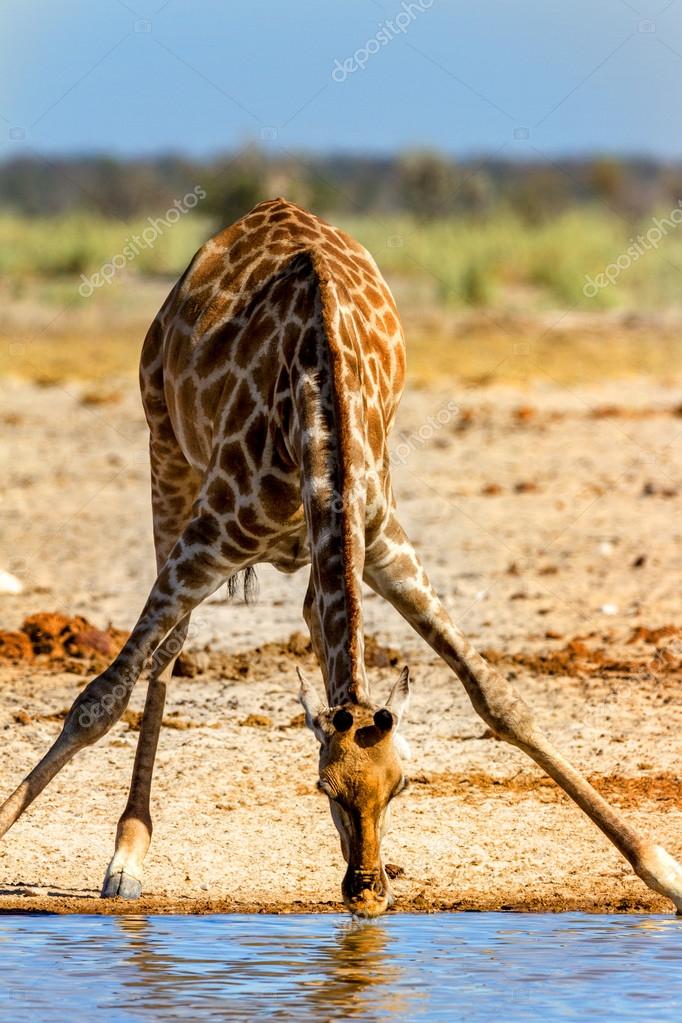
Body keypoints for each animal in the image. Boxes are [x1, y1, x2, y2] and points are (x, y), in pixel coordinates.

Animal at [1, 197, 681, 918]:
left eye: (403, 783)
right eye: (323, 788)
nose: (367, 889)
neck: (317, 417)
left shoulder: (383, 543)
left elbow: (498, 698)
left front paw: (661, 867)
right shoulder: (209, 541)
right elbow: (100, 697)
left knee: (305, 621)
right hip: (166, 453)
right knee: (168, 649)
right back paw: (130, 851)